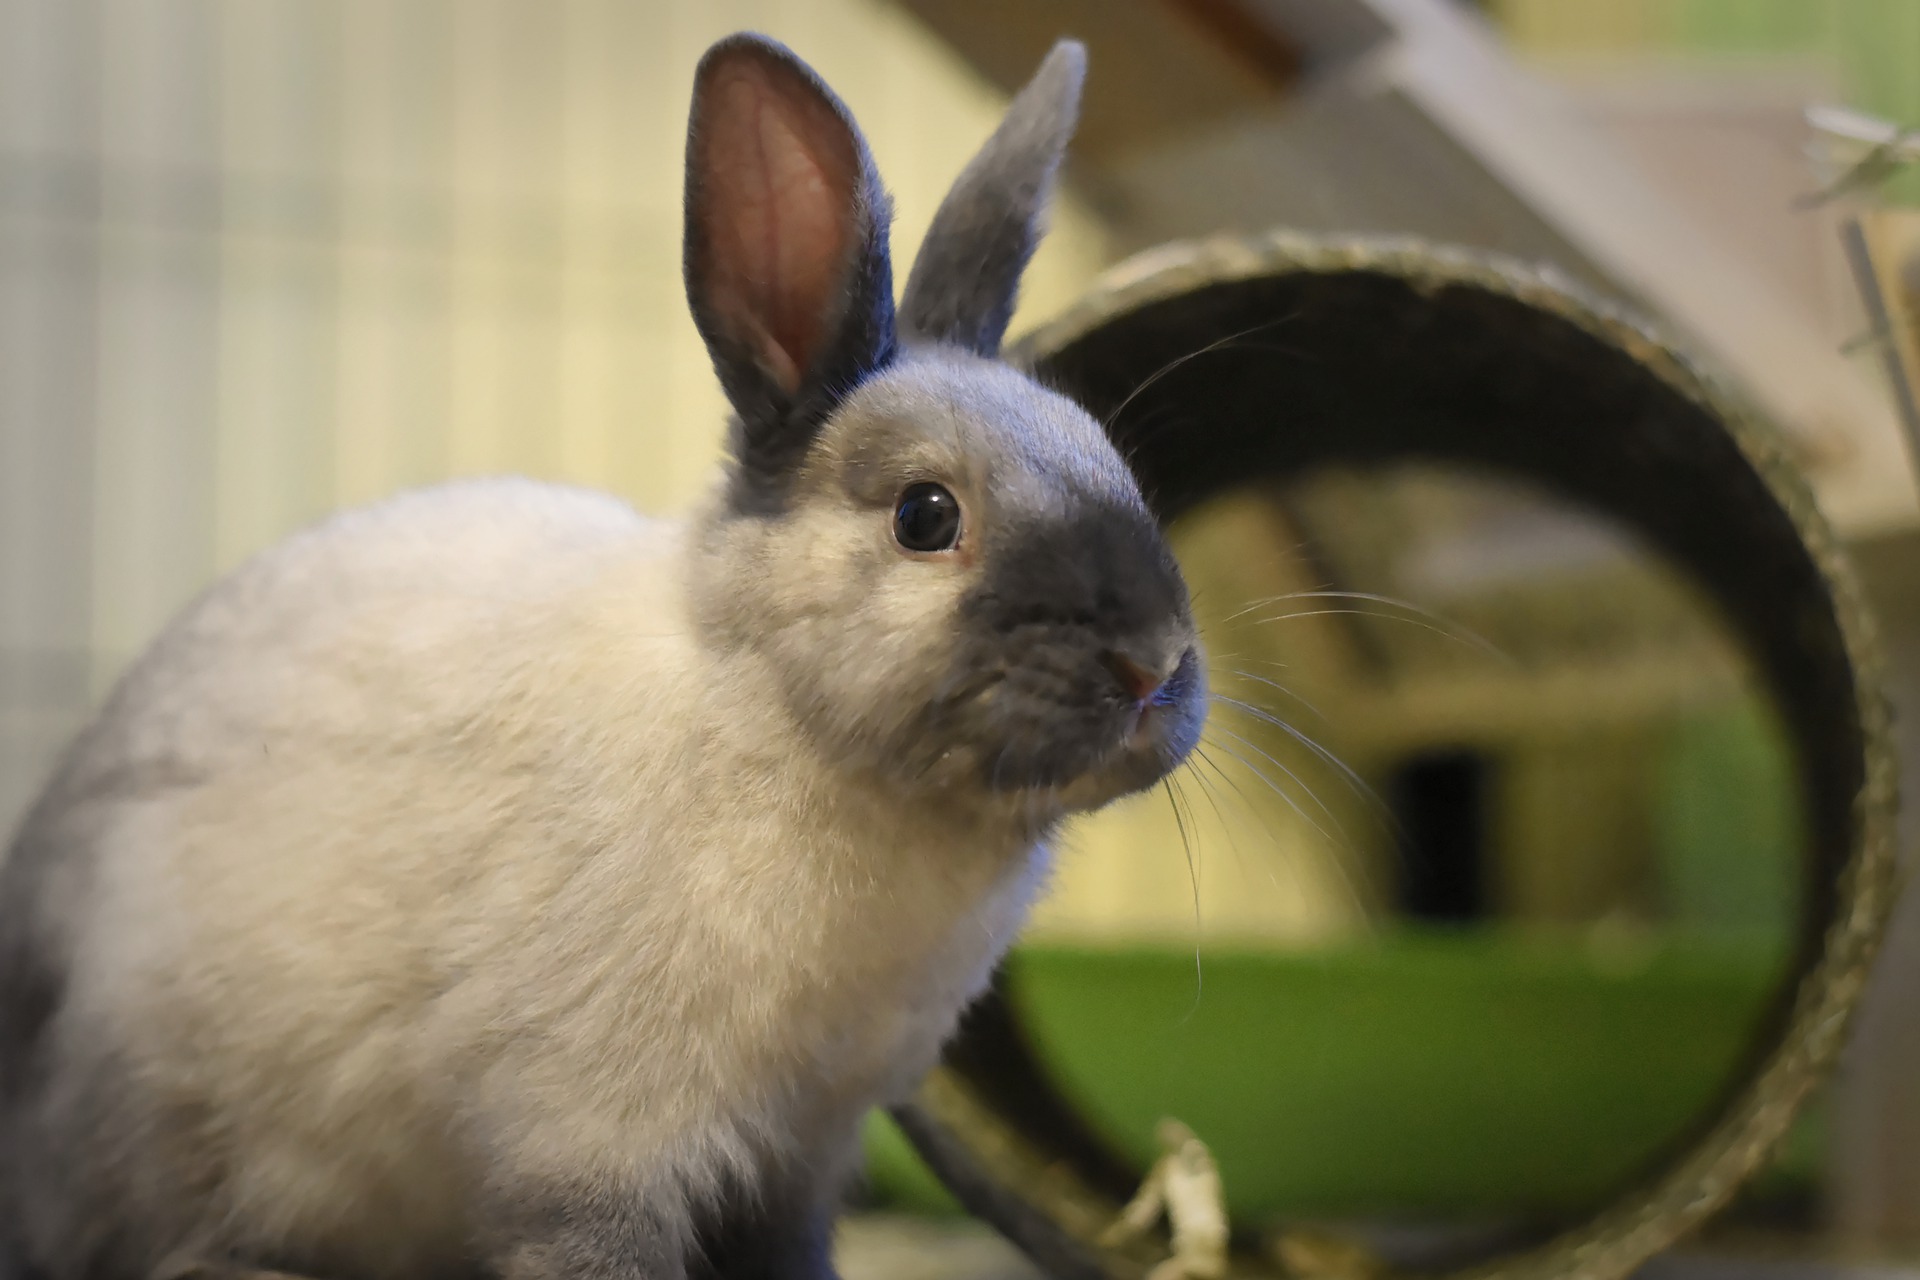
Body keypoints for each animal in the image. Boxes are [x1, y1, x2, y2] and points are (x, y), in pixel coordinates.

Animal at [0, 30, 1206, 1280]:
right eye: (925, 516)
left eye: (1113, 458)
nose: (1154, 663)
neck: (779, 717)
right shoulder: (590, 1147)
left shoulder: (801, 1152)